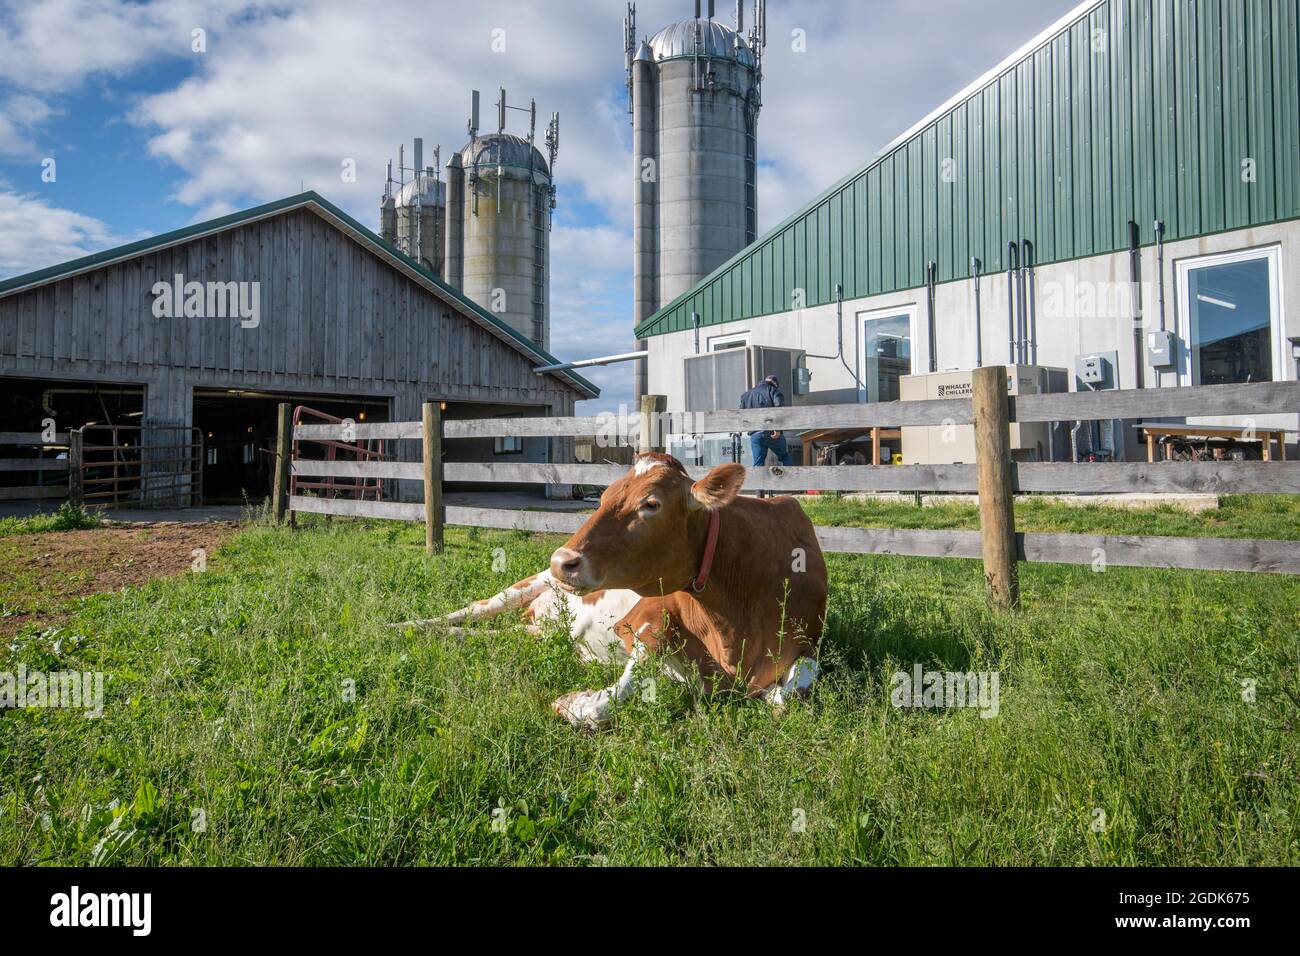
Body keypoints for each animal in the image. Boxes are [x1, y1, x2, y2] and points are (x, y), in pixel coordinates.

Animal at [430, 453, 828, 729]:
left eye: (650, 504)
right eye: (604, 496)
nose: (562, 560)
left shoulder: (807, 643)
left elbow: (787, 696)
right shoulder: (642, 620)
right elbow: (609, 698)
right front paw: (575, 701)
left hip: (534, 632)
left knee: (491, 633)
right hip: (527, 586)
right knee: (473, 609)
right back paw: (414, 627)